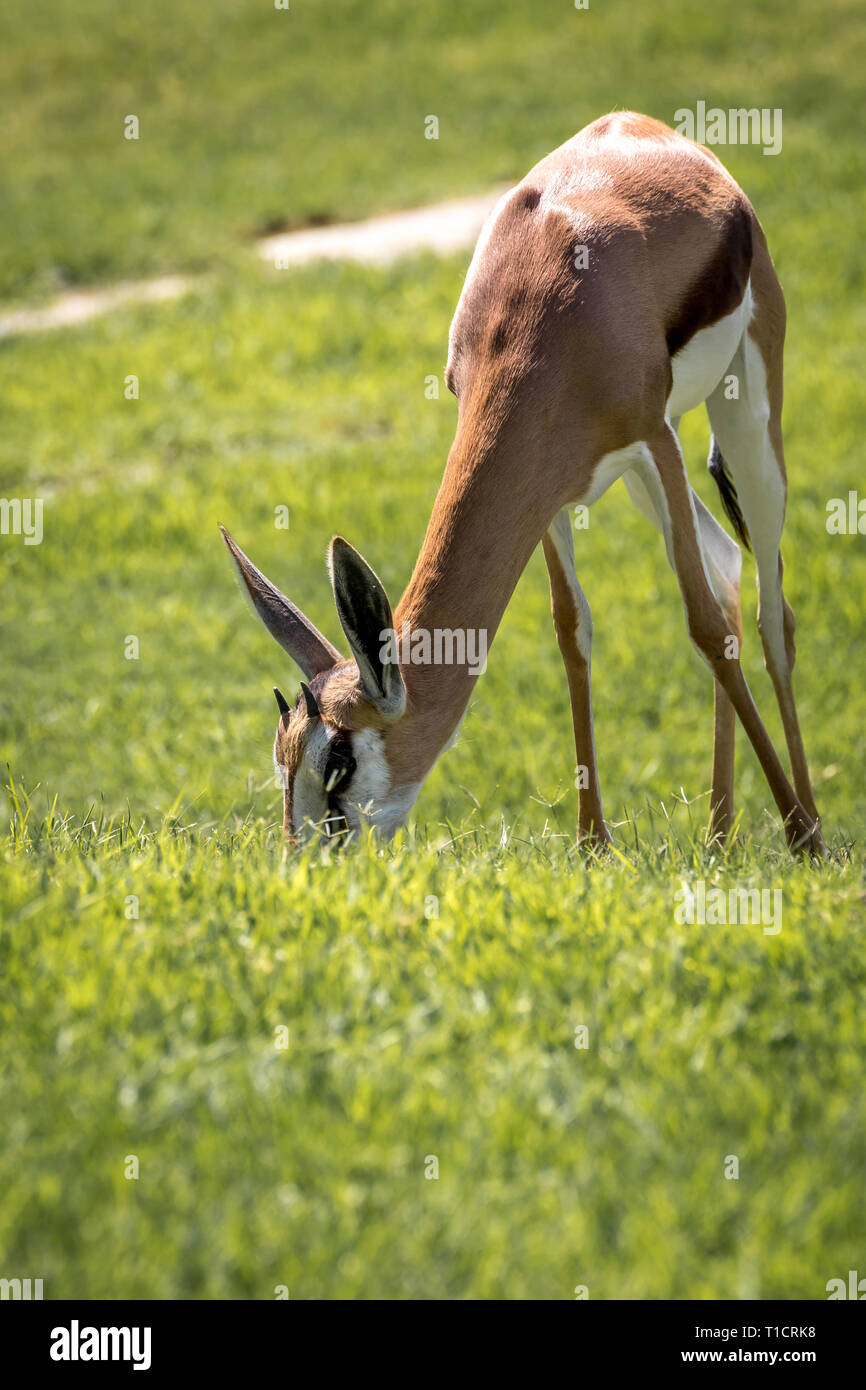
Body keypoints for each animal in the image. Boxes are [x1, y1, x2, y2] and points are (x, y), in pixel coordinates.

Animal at [221, 111, 824, 853]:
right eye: (282, 760)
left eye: (338, 758)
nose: (307, 863)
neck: (551, 321)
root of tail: (651, 130)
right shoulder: (550, 492)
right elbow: (572, 631)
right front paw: (592, 846)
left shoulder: (649, 441)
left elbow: (704, 625)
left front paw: (799, 835)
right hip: (657, 470)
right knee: (728, 562)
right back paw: (716, 836)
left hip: (742, 418)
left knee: (771, 609)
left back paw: (809, 831)